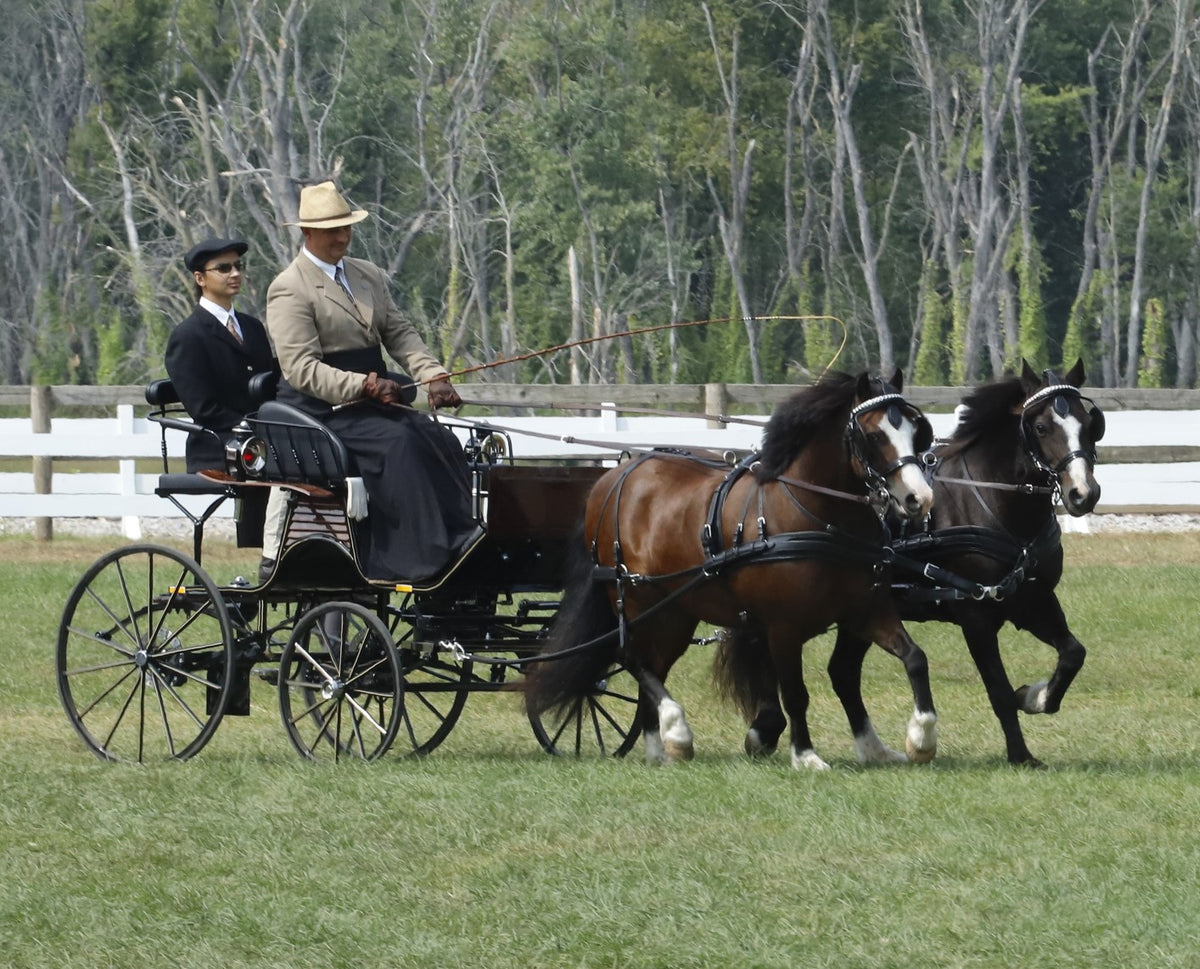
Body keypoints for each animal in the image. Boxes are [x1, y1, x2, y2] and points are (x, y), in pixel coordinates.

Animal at [523, 370, 940, 770]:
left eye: (916, 431)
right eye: (874, 435)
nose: (918, 499)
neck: (819, 516)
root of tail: (613, 477)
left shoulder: (866, 609)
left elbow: (909, 660)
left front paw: (909, 742)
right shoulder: (783, 627)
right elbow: (796, 693)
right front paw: (805, 755)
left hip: (676, 613)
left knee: (653, 667)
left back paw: (658, 748)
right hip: (637, 598)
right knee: (631, 658)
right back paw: (676, 730)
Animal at [716, 360, 1103, 767]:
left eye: (1089, 424)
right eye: (1041, 427)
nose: (1084, 493)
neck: (992, 504)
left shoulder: (1034, 600)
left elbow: (1073, 654)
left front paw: (1034, 697)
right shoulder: (975, 614)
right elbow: (997, 688)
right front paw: (1020, 753)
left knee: (842, 672)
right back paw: (767, 729)